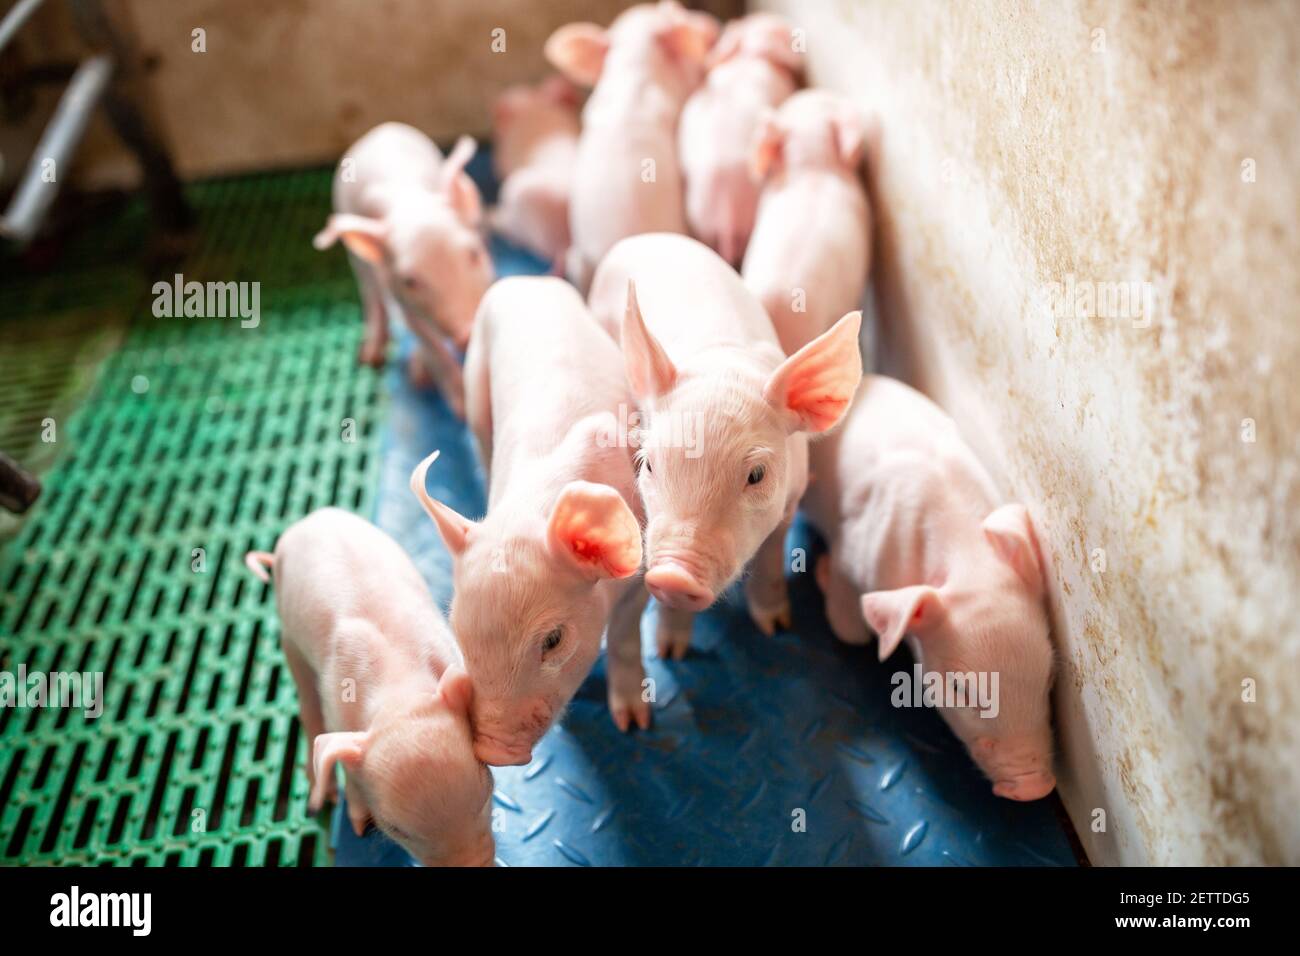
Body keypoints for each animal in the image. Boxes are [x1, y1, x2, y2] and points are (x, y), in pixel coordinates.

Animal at [243, 507, 495, 865]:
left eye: (487, 788)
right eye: (394, 828)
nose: (475, 864)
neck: (400, 693)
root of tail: (309, 520)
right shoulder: (336, 709)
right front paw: (359, 825)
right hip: (288, 636)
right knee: (307, 707)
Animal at [313, 123, 494, 417]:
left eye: (474, 253)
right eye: (410, 281)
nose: (467, 332)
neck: (409, 202)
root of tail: (379, 131)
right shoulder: (398, 296)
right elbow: (426, 340)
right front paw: (459, 408)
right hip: (358, 261)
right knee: (370, 293)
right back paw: (372, 357)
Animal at [409, 276, 648, 766]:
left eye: (553, 639)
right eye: (458, 630)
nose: (492, 750)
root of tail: (524, 280)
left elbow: (625, 634)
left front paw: (634, 724)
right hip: (476, 386)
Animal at [588, 233, 862, 658]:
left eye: (757, 474)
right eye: (648, 464)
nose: (673, 575)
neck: (725, 367)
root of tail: (643, 239)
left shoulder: (791, 501)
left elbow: (771, 560)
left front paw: (777, 627)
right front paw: (669, 654)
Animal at [801, 375, 1057, 801]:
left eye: (1049, 678)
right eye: (960, 688)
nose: (1033, 788)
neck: (967, 560)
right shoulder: (852, 552)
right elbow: (850, 630)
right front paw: (821, 575)